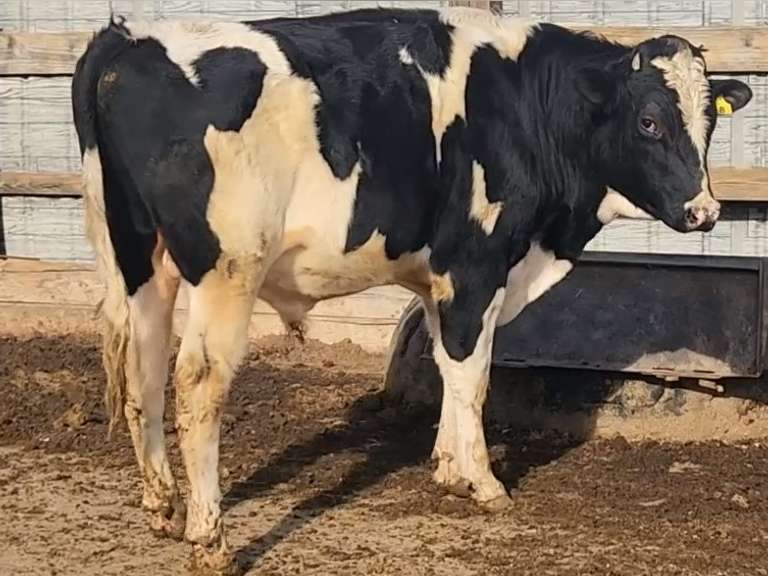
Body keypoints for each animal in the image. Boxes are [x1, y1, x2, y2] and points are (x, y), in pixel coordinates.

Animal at [72, 6, 752, 573]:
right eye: (650, 122)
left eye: (706, 126)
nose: (704, 211)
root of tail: (128, 37)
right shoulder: (477, 262)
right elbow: (473, 373)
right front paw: (483, 482)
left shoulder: (437, 274)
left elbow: (447, 363)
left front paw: (449, 468)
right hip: (228, 270)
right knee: (197, 384)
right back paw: (210, 538)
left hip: (140, 262)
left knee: (144, 374)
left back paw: (162, 506)